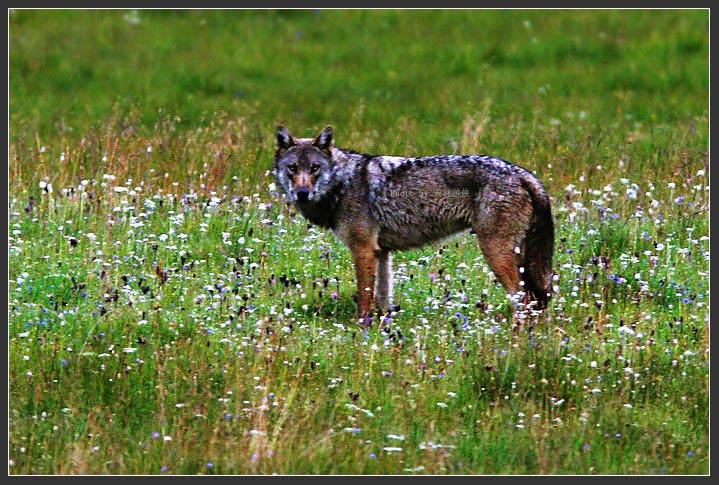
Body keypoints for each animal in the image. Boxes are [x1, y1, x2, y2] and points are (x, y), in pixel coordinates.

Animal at [272, 126, 556, 328]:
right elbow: (382, 299)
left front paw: (360, 333)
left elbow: (364, 299)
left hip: (495, 252)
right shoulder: (381, 253)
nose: (302, 194)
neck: (344, 183)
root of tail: (522, 173)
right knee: (536, 301)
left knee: (525, 301)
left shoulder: (363, 250)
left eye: (315, 168)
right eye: (293, 168)